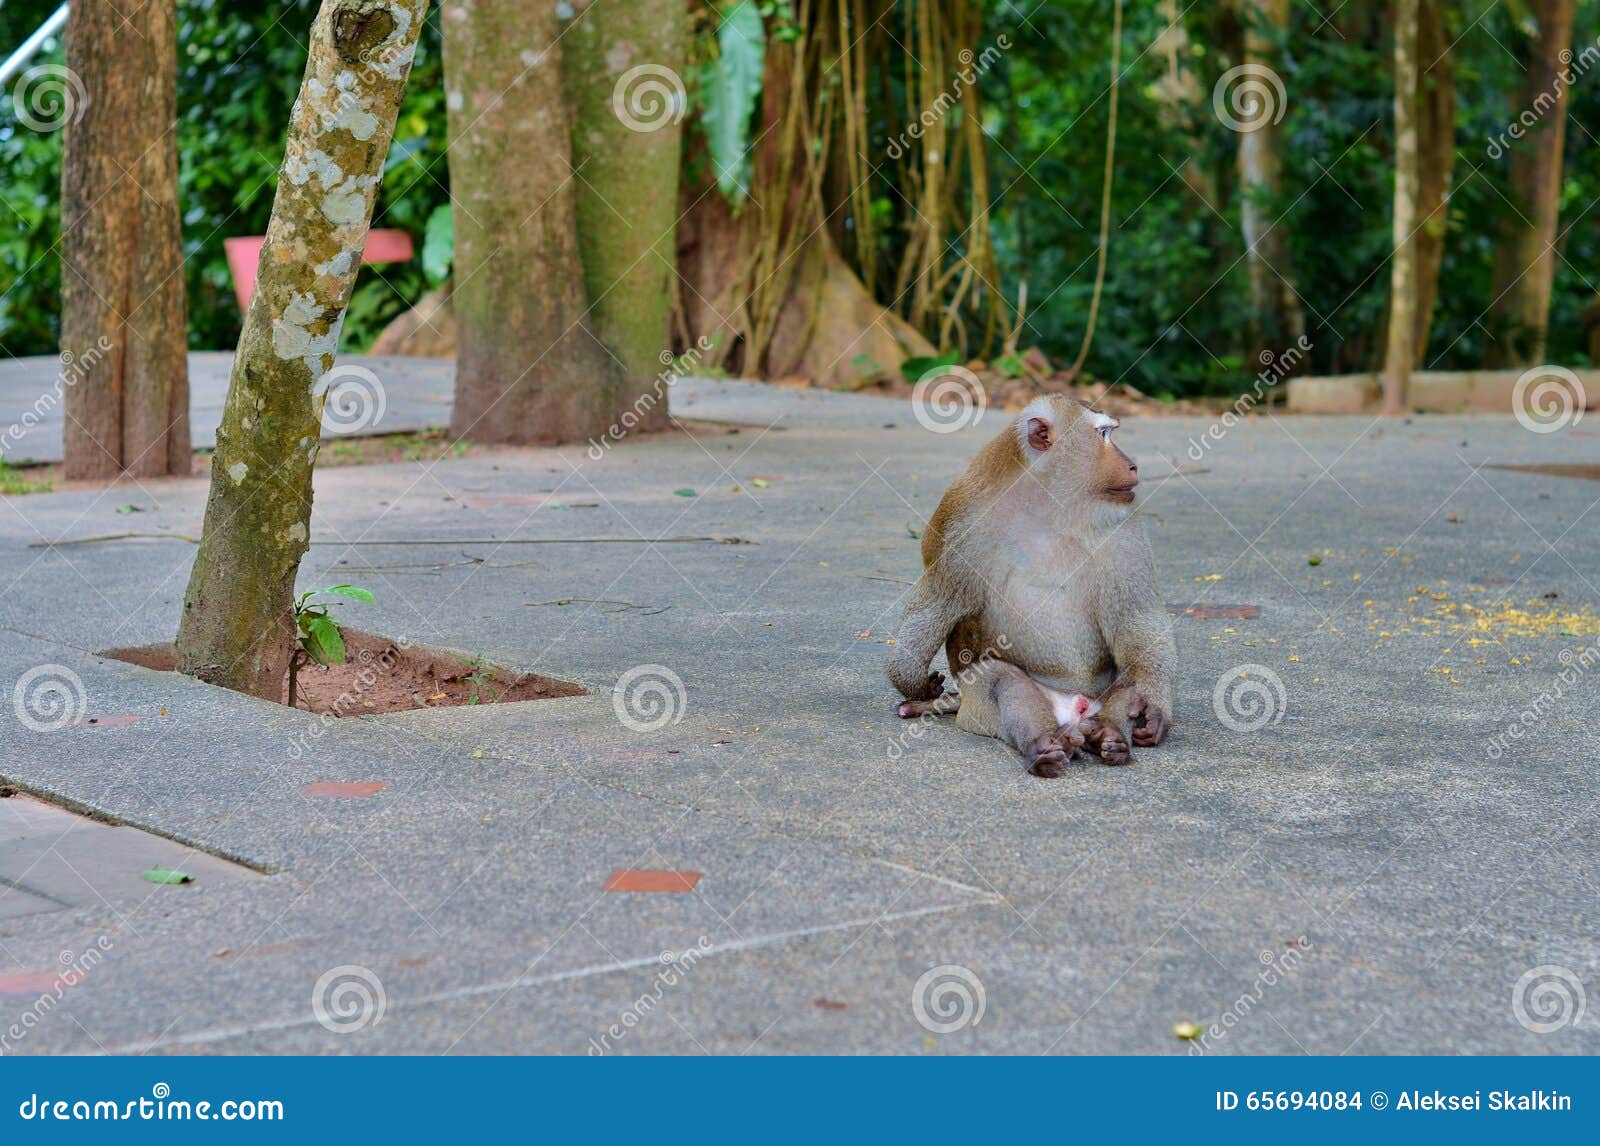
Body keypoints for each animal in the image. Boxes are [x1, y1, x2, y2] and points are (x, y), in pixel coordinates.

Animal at [887, 394, 1176, 777]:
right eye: (1103, 435)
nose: (1132, 466)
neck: (1048, 505)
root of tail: (1074, 713)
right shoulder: (960, 524)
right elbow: (938, 600)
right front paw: (915, 682)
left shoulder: (1123, 525)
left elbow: (1135, 615)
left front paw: (1155, 710)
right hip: (982, 711)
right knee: (999, 678)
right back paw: (1044, 747)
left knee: (1131, 681)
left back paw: (1110, 737)